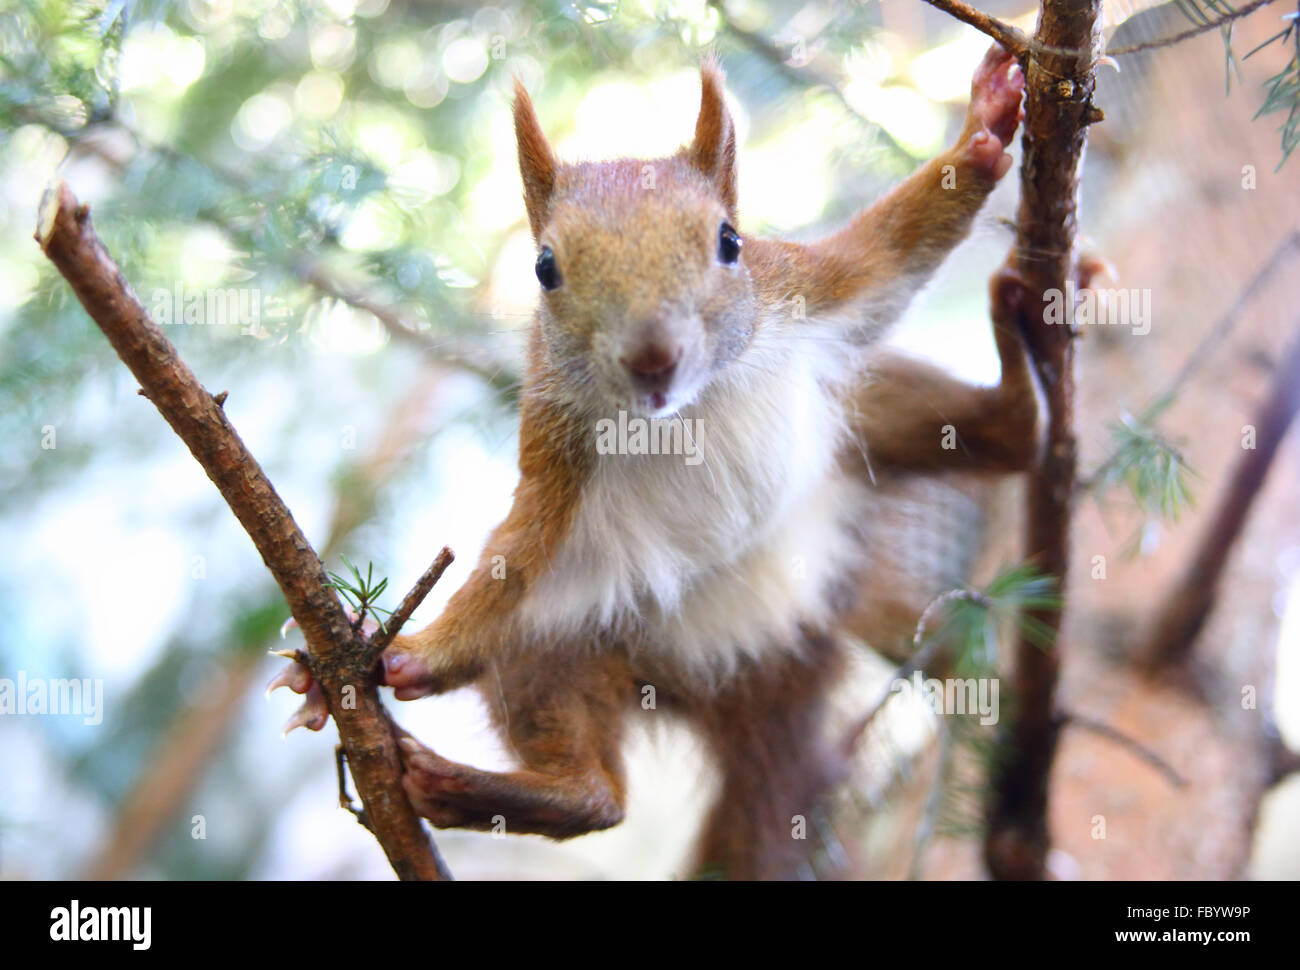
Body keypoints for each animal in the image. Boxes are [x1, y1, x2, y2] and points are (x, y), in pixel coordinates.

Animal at [273, 42, 1038, 879]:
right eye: (545, 267)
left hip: (871, 439)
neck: (686, 413)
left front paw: (983, 132)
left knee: (1012, 441)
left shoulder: (805, 285)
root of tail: (763, 661)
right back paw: (501, 786)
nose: (652, 357)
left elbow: (895, 247)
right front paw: (402, 655)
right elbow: (511, 563)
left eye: (730, 242)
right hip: (570, 645)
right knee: (594, 782)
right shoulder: (555, 450)